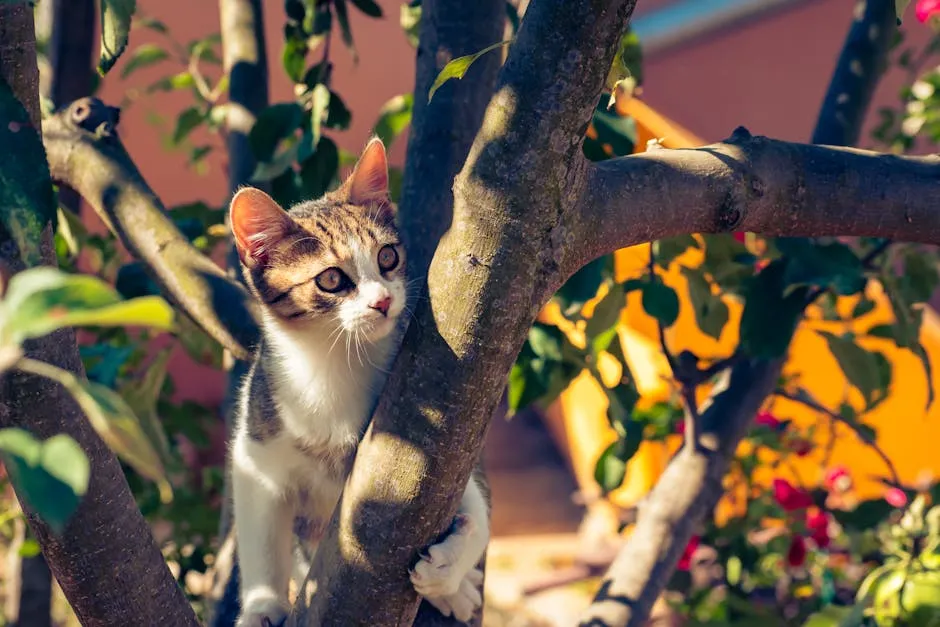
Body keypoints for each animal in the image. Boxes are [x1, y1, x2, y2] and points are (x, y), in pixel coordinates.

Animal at [230, 139, 488, 627]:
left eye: (388, 257)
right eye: (331, 279)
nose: (383, 301)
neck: (335, 362)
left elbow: (477, 512)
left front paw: (450, 571)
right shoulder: (258, 444)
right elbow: (260, 535)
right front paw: (261, 606)